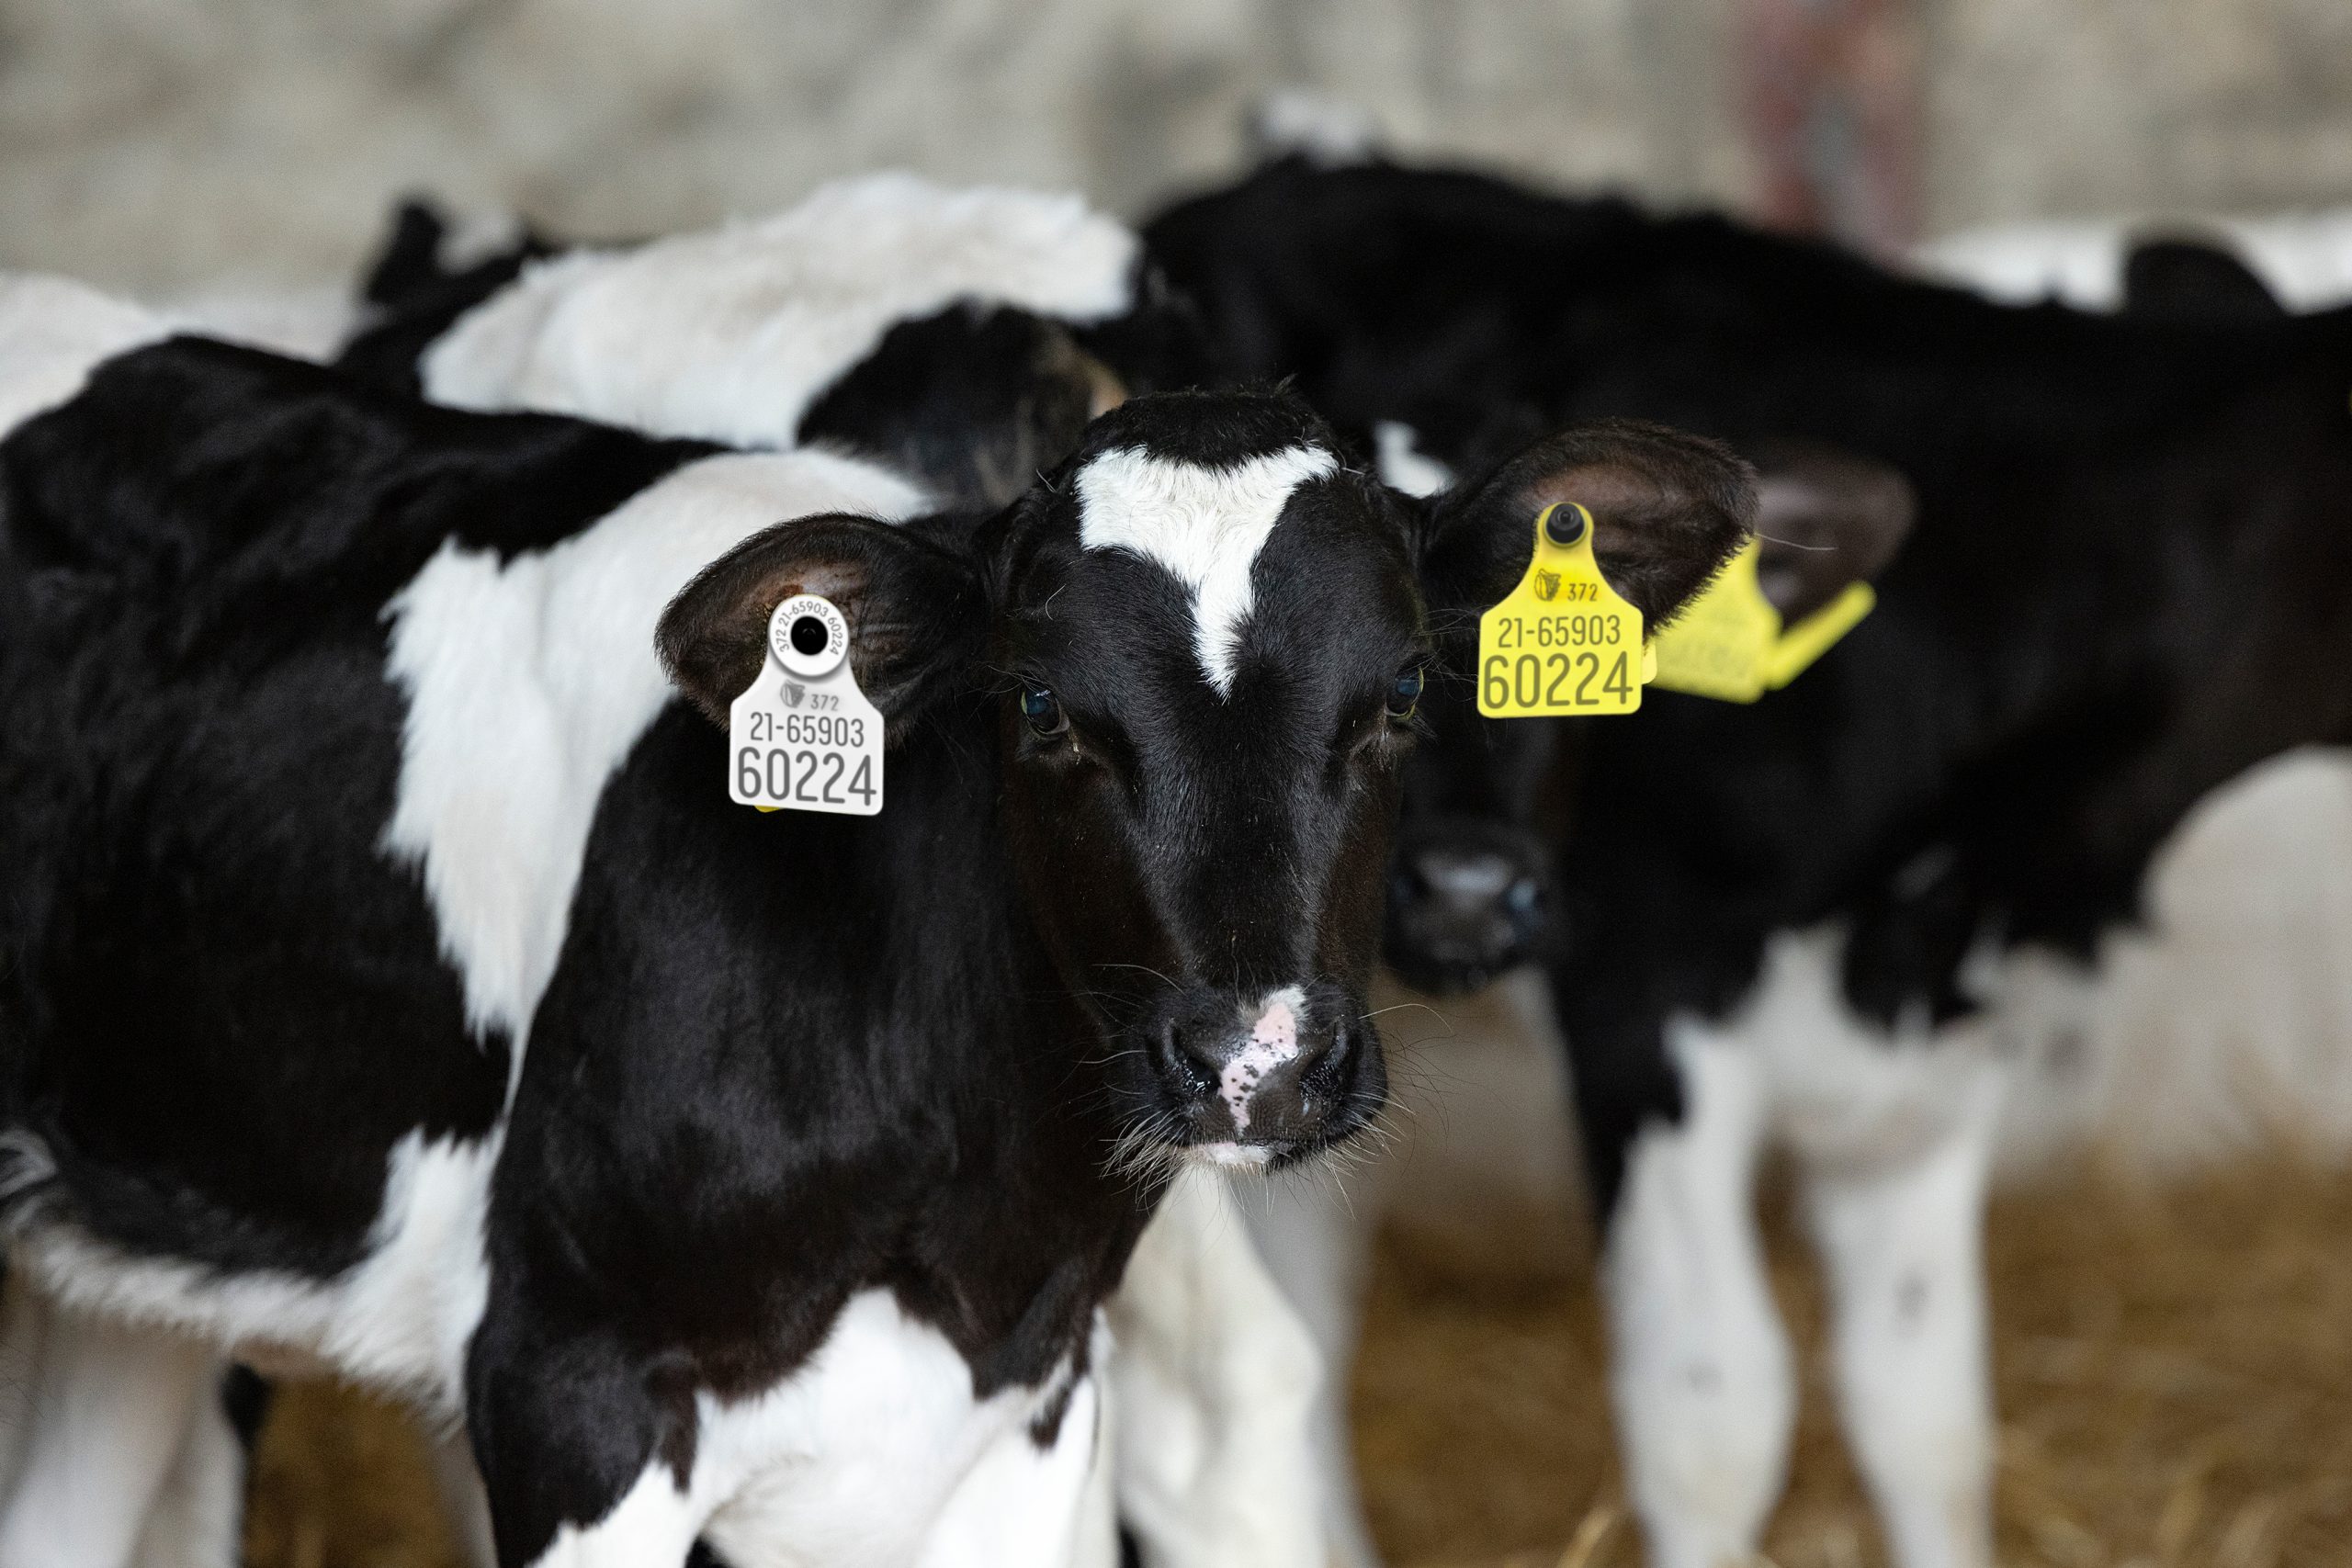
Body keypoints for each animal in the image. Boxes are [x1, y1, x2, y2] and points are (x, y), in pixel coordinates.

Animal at [0, 272, 1752, 1568]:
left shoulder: (1030, 1403)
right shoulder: (570, 1387)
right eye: (1037, 703)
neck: (956, 1212)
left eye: (1400, 689)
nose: (1258, 1061)